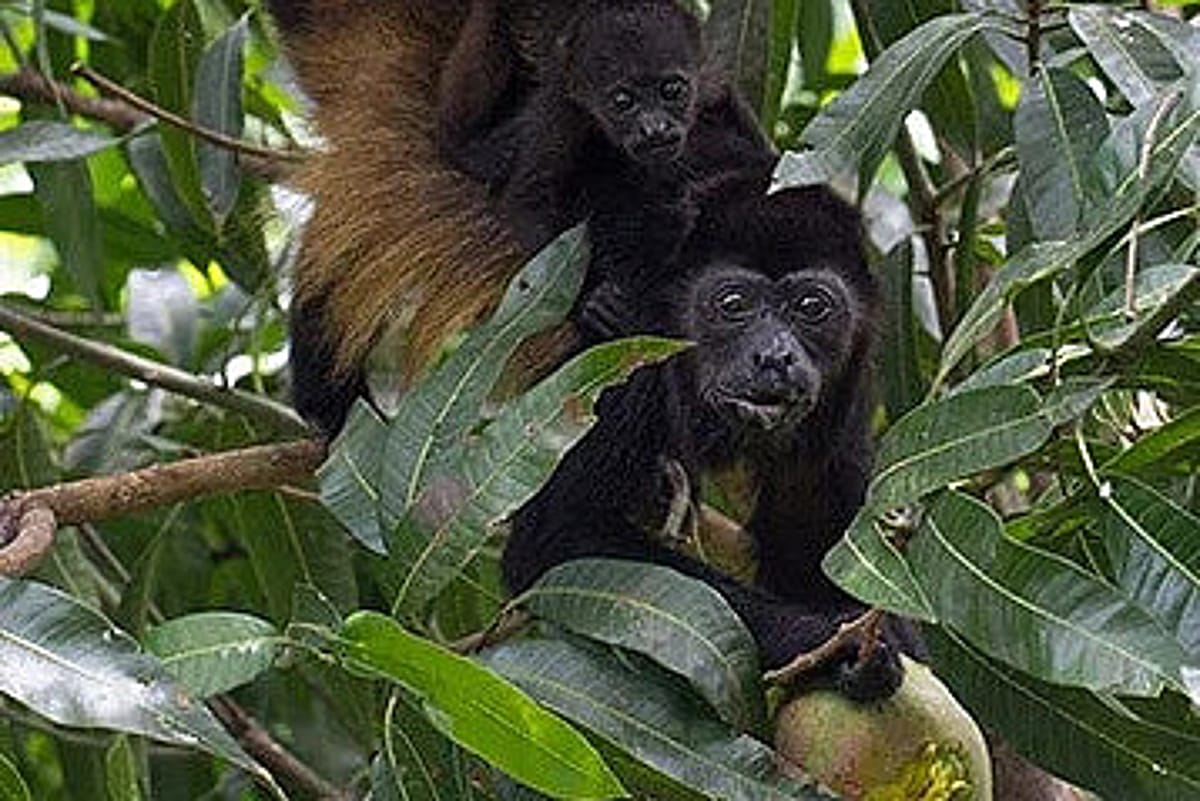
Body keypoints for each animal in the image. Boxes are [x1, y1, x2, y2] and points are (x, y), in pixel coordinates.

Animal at [503, 174, 913, 699]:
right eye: (734, 305)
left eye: (812, 307)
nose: (774, 357)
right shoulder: (631, 359)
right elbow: (559, 533)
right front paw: (831, 644)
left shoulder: (840, 426)